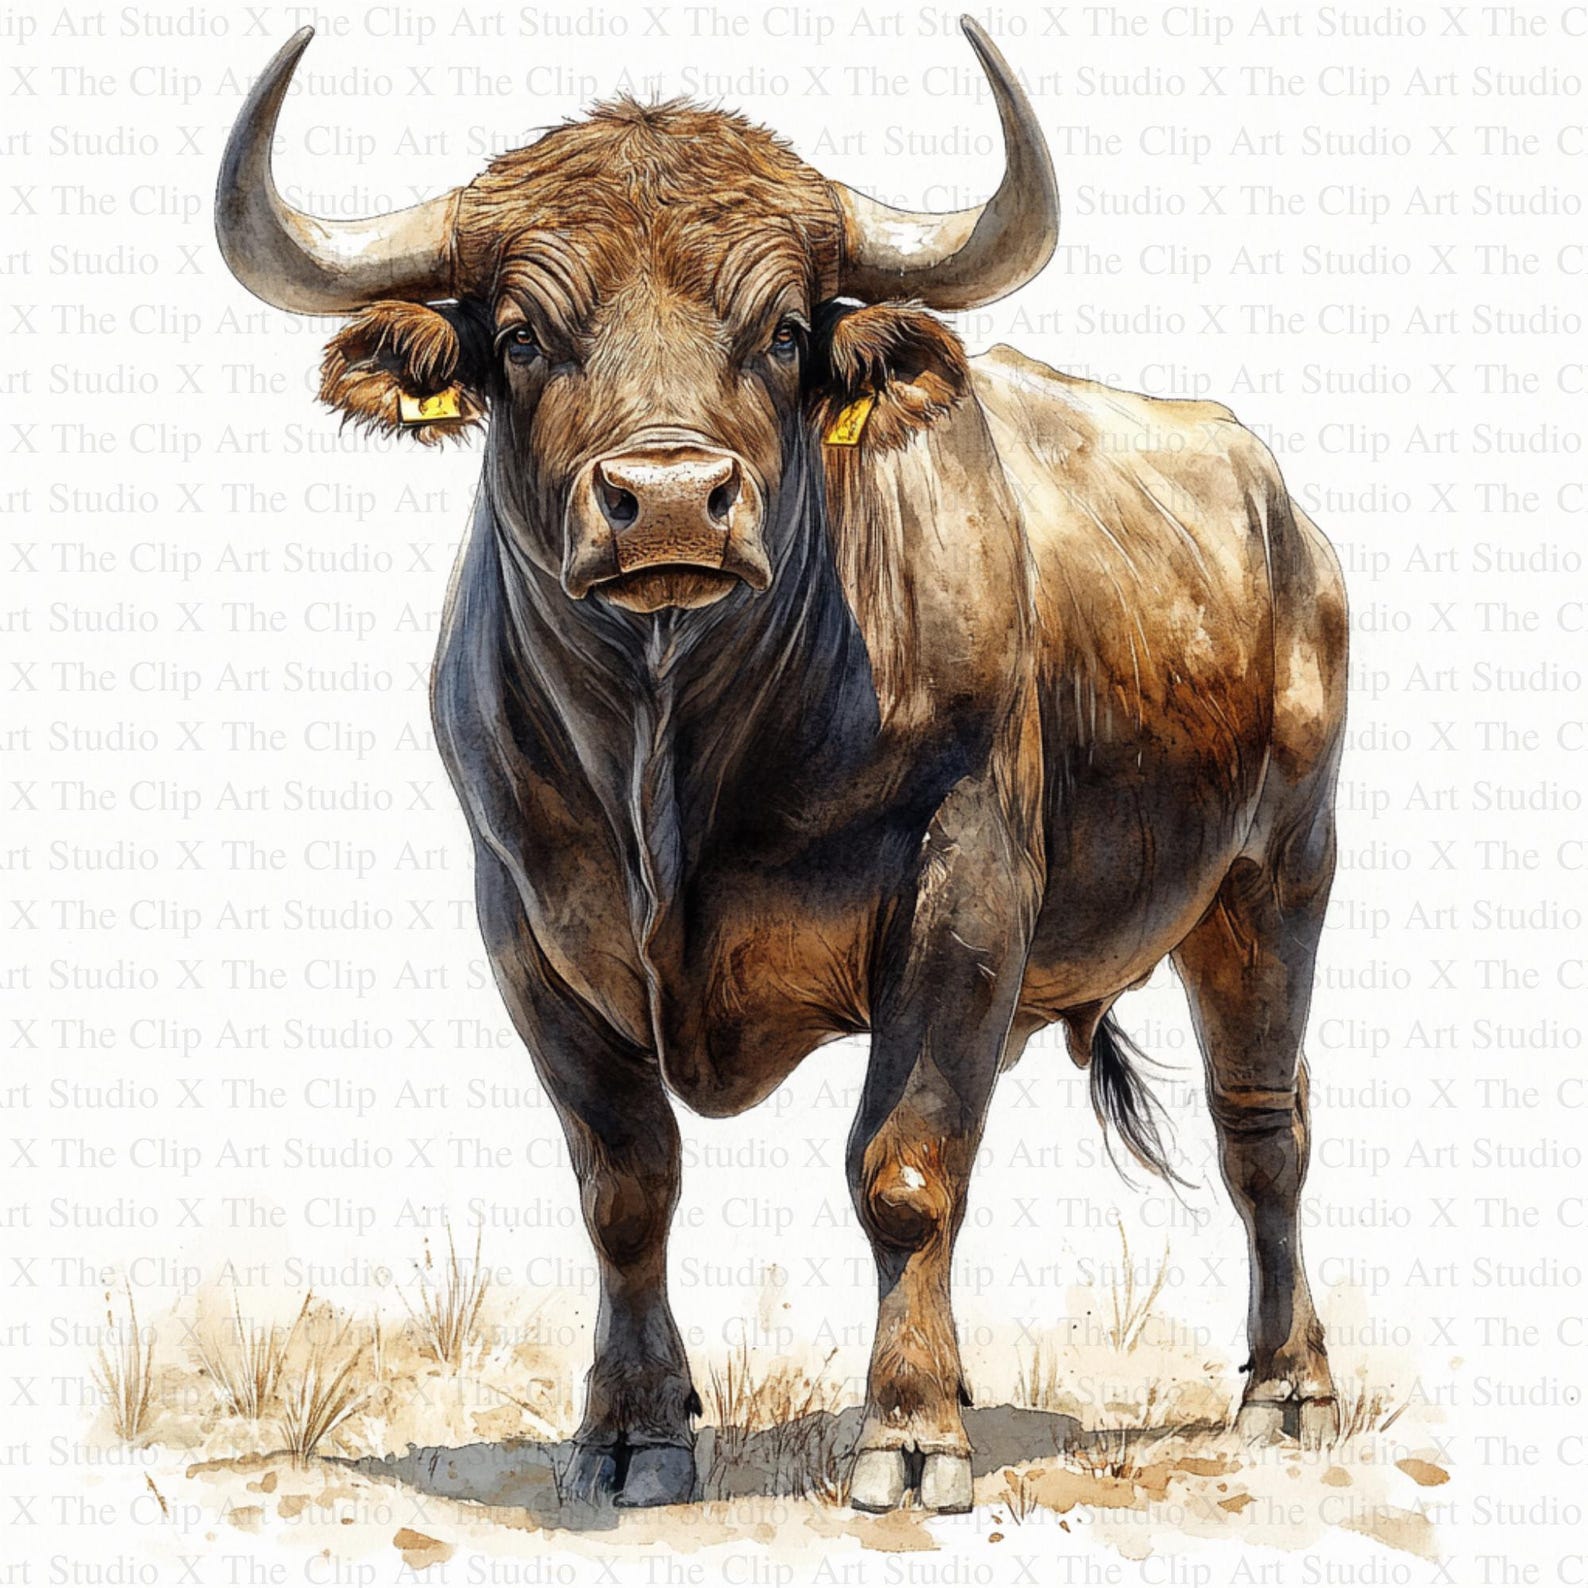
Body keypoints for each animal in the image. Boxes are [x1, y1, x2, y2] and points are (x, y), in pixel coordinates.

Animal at [216, 20, 1349, 1513]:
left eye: (786, 332)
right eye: (519, 335)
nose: (668, 501)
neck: (672, 753)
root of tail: (1285, 516)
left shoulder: (963, 892)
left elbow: (907, 1169)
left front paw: (913, 1435)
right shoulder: (525, 927)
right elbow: (623, 1185)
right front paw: (632, 1431)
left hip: (1277, 875)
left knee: (1261, 1128)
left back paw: (1289, 1388)